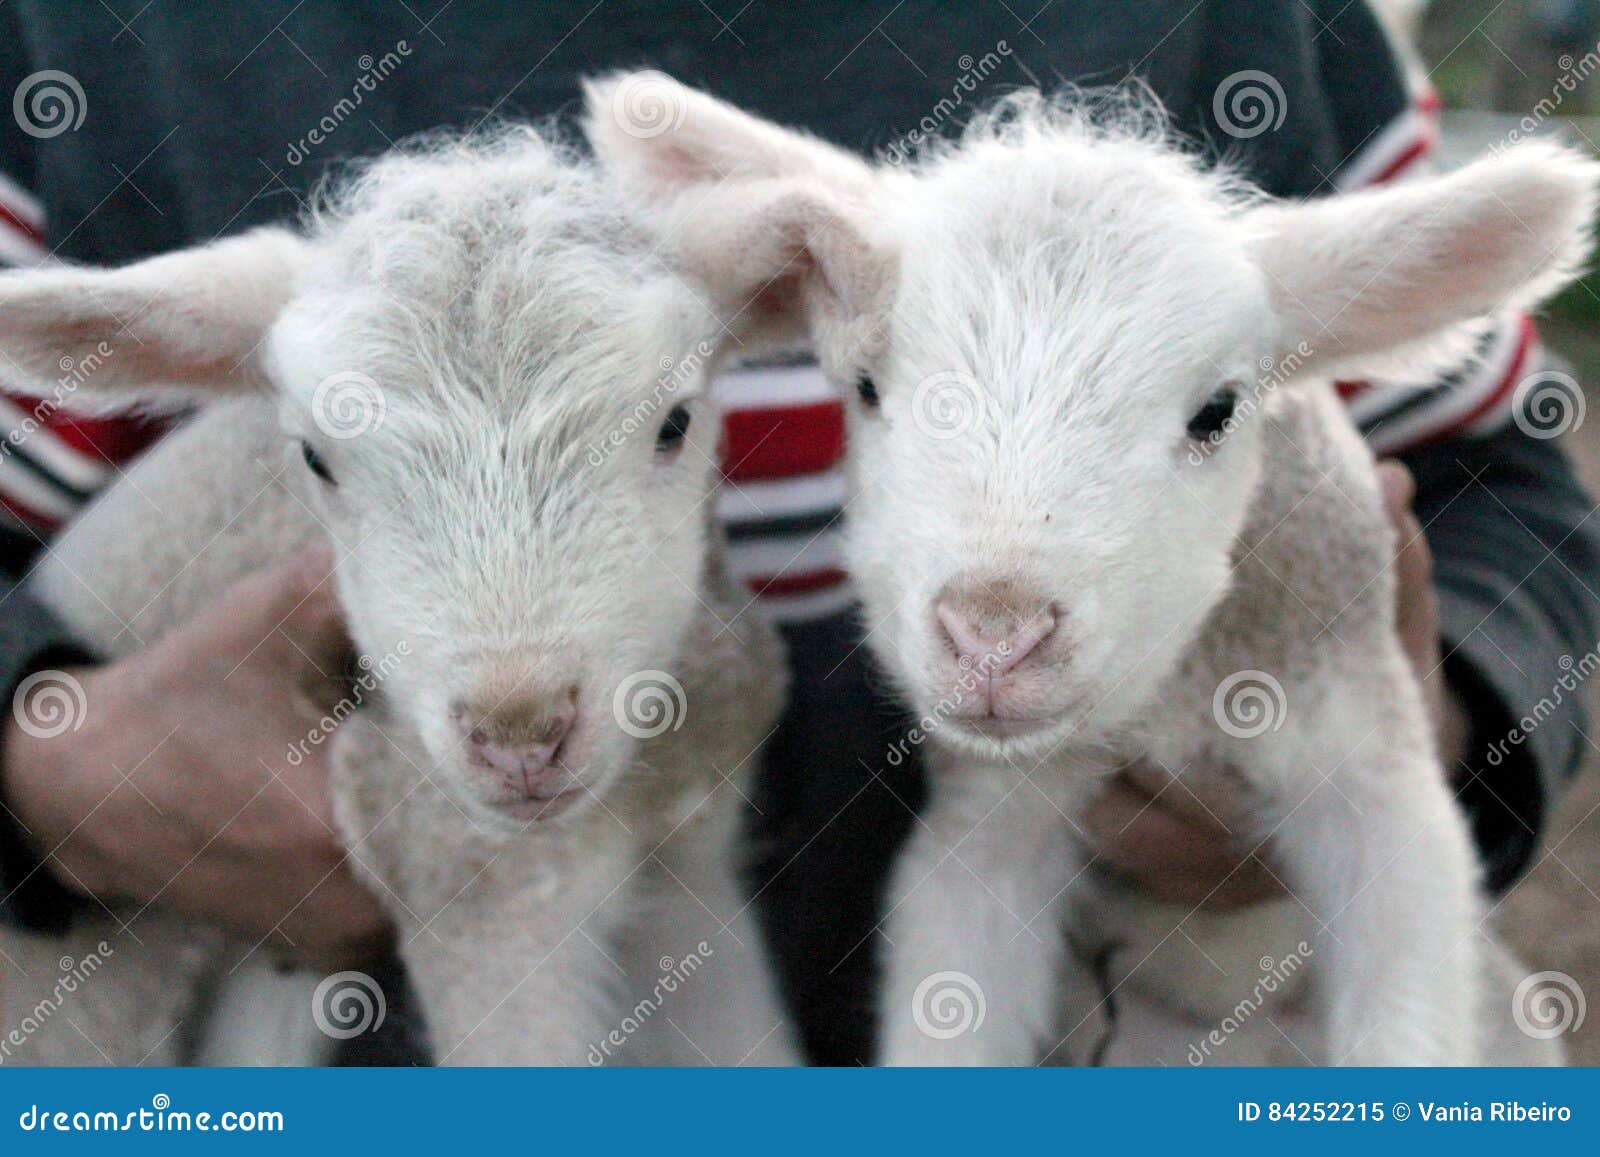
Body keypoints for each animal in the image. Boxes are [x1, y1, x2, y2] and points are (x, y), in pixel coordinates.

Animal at [583, 76, 1597, 1066]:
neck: (1173, 698)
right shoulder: (987, 825)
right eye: (867, 388)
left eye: (1218, 410)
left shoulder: (1376, 781)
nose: (994, 638)